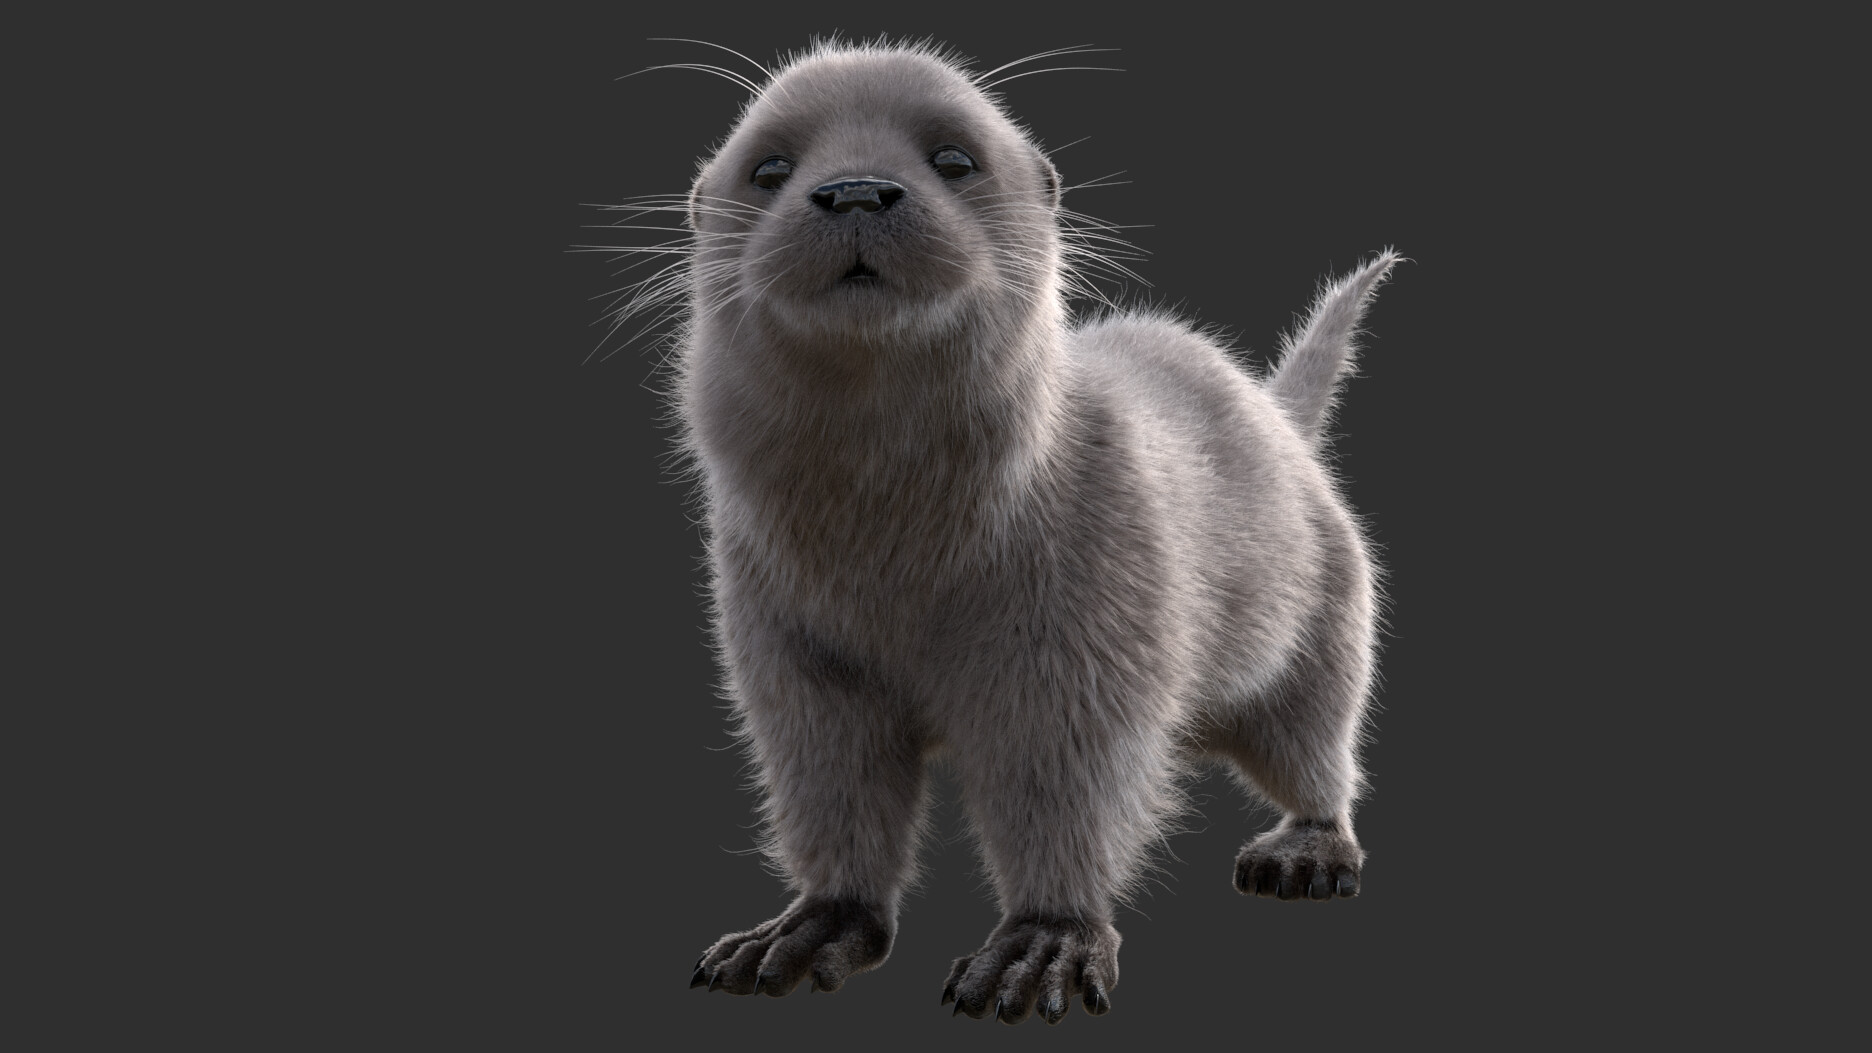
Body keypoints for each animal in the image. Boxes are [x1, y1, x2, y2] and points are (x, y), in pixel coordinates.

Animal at [644, 40, 1401, 1024]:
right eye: (768, 167)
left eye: (954, 157)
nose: (856, 189)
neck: (893, 558)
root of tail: (1276, 415)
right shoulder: (789, 651)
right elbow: (828, 786)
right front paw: (809, 927)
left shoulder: (1083, 635)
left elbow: (1066, 786)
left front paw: (1041, 945)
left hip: (1327, 614)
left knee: (1319, 746)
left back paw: (1307, 852)